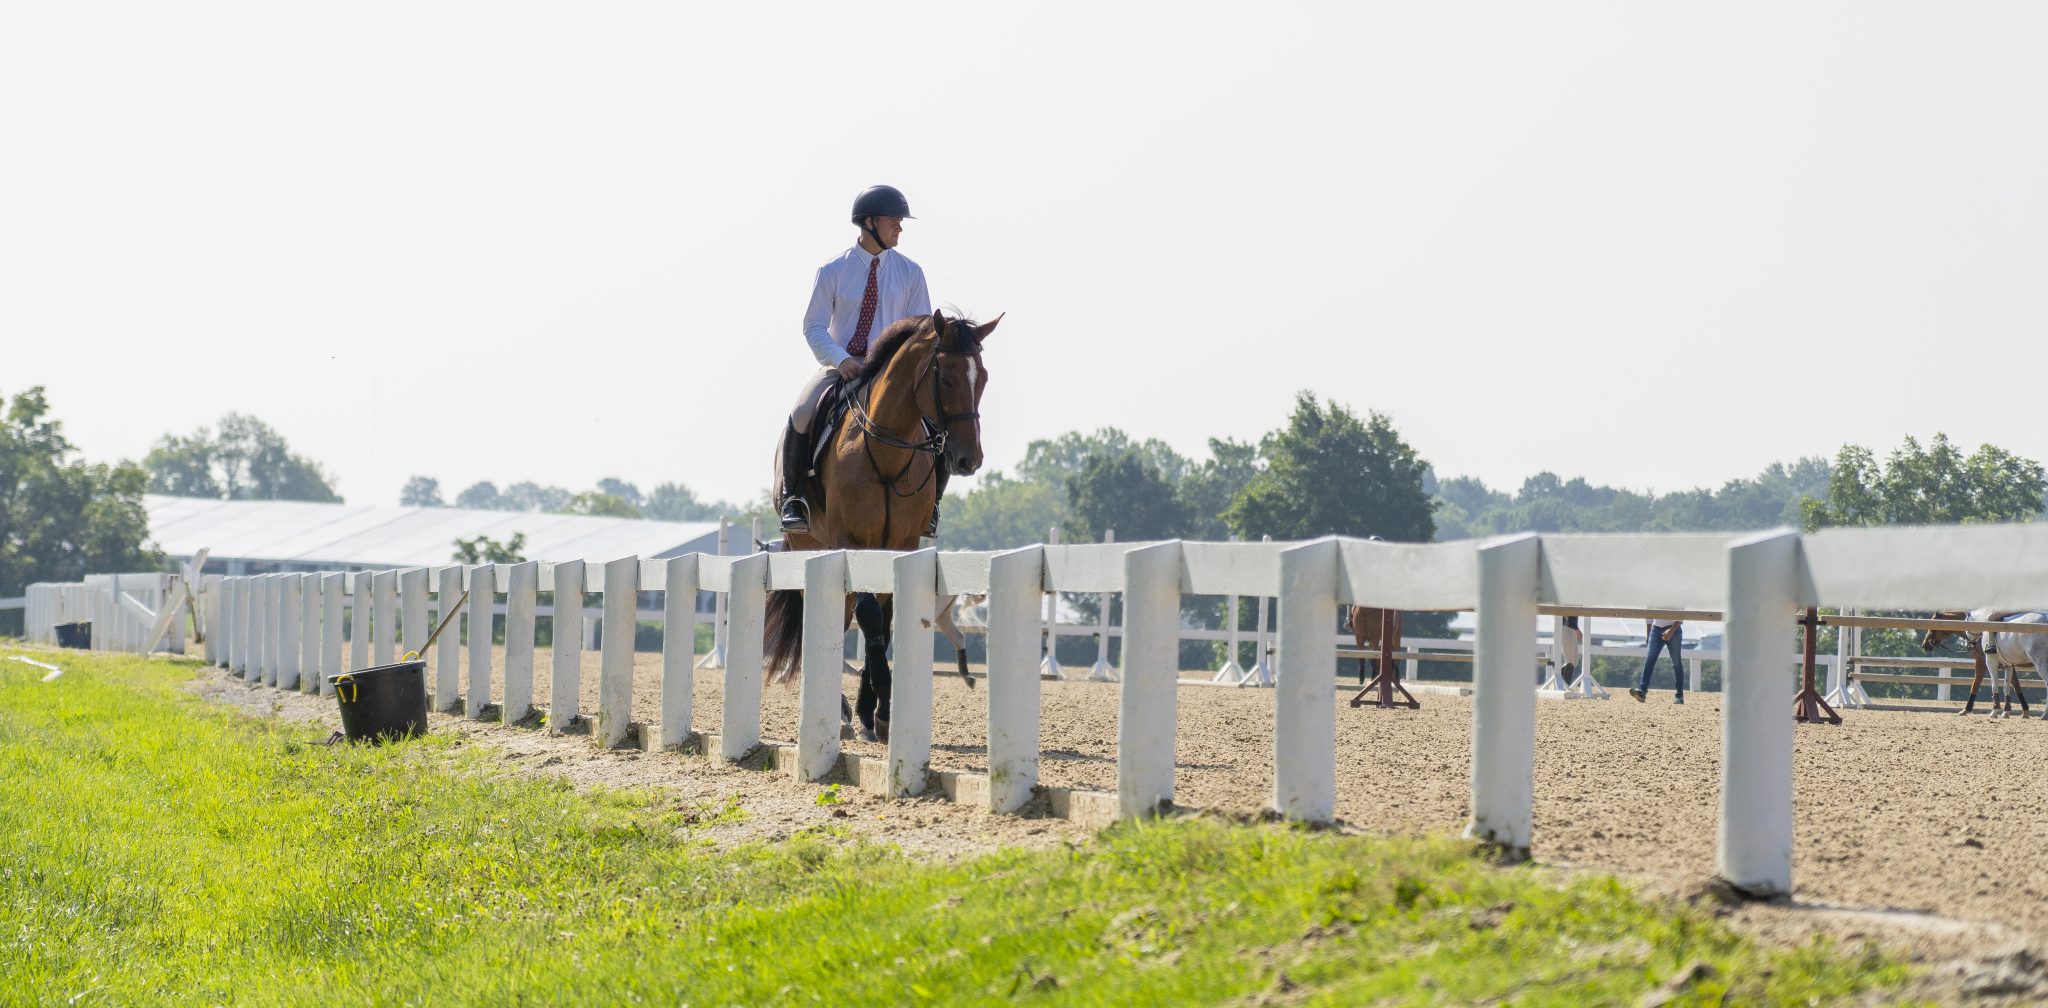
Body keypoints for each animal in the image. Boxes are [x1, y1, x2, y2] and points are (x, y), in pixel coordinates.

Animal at [763, 310, 999, 742]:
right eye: (946, 377)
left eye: (984, 377)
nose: (968, 459)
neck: (888, 450)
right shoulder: (851, 541)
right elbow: (871, 618)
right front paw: (882, 707)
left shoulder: (900, 545)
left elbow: (885, 622)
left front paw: (876, 711)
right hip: (811, 547)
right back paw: (838, 711)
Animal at [1920, 609, 2048, 718]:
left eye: (1932, 626)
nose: (1925, 645)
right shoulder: (2008, 664)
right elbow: (2009, 685)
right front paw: (2008, 711)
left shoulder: (1985, 661)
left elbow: (1980, 684)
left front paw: (1975, 709)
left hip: (2040, 662)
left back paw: (2045, 714)